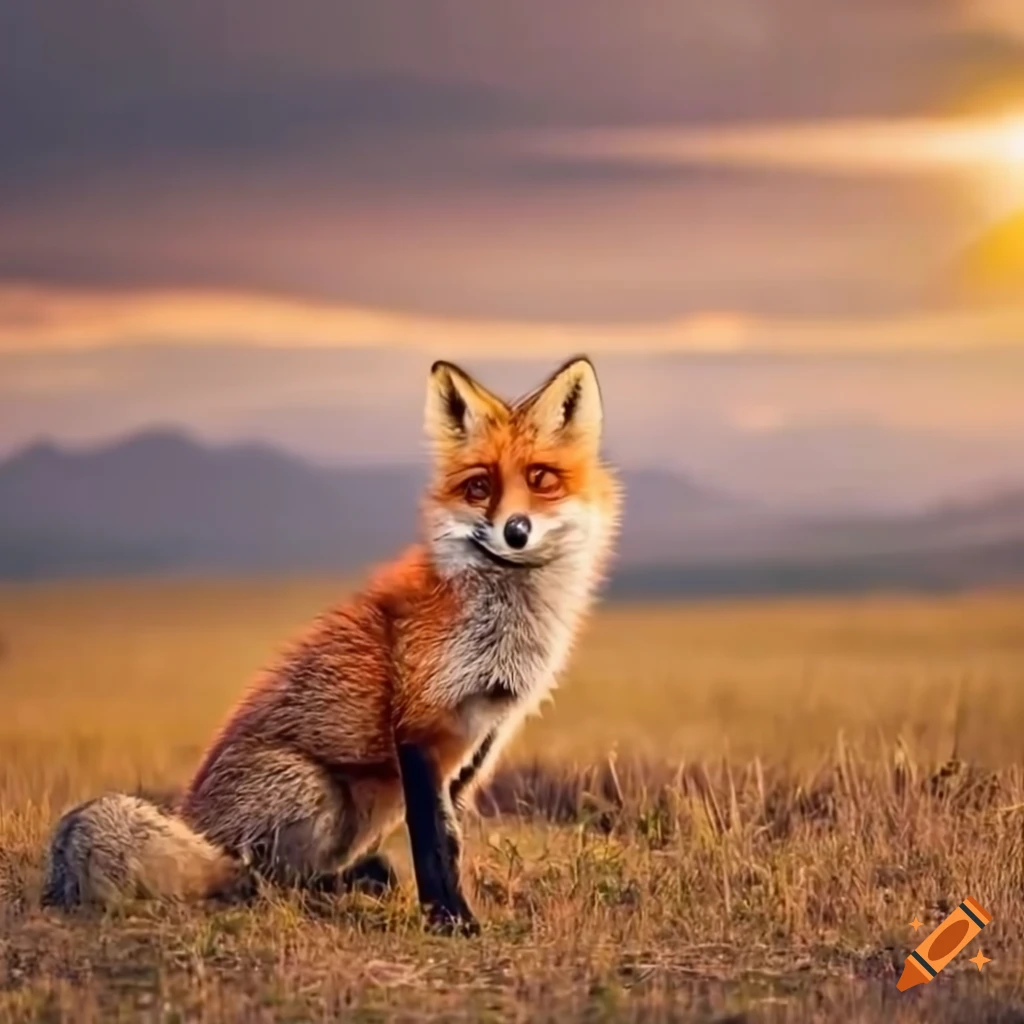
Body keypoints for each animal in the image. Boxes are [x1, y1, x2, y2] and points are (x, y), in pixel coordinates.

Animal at [42, 355, 621, 934]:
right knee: (255, 879)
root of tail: (191, 820)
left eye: (541, 479)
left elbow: (450, 838)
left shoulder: (480, 743)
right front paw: (448, 922)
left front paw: (449, 914)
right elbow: (432, 843)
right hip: (317, 791)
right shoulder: (419, 724)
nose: (515, 532)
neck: (501, 619)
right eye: (480, 487)